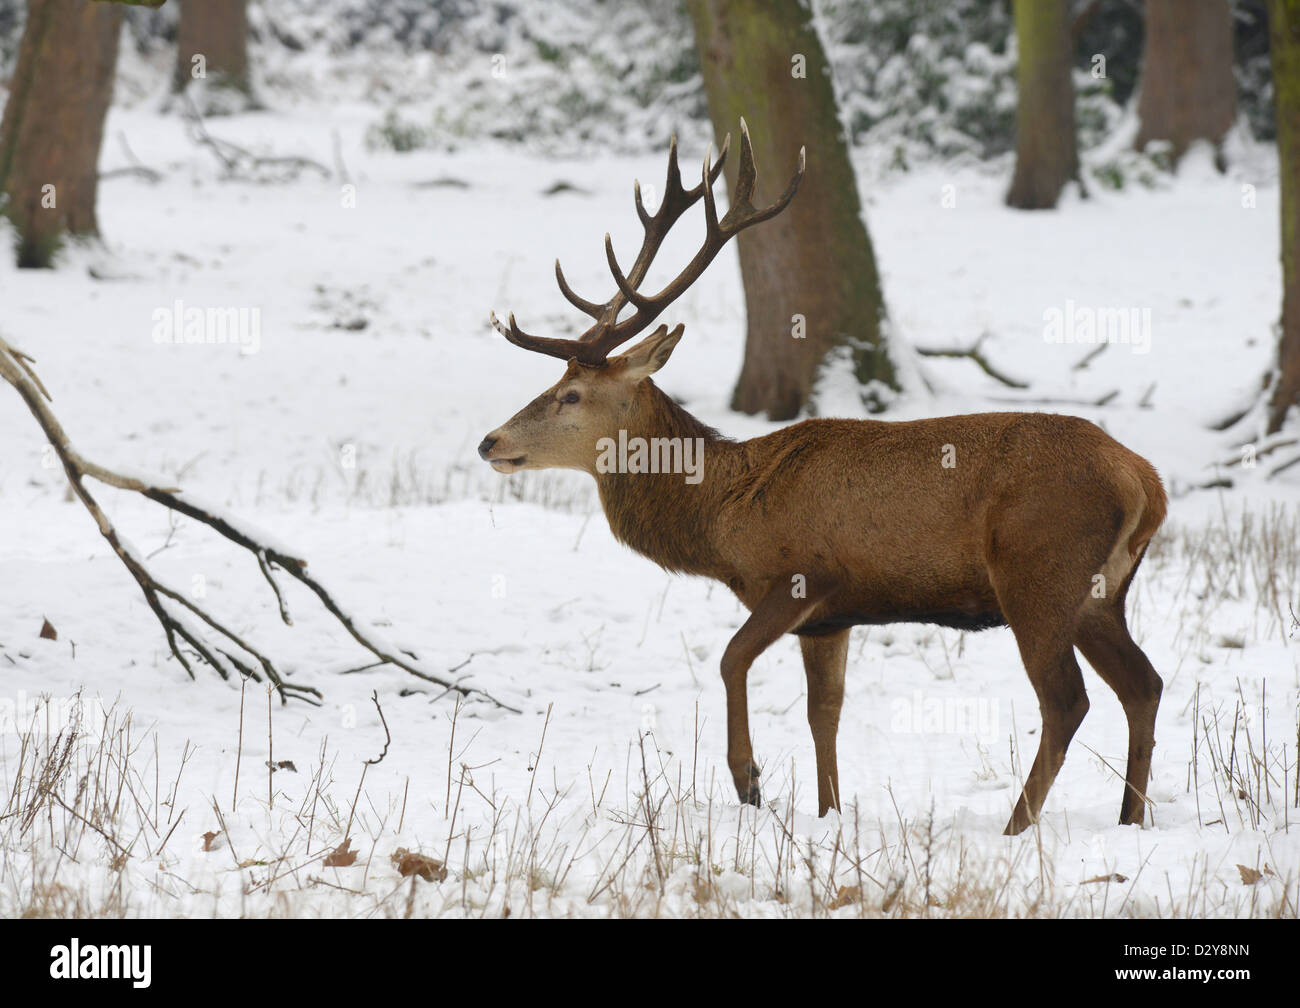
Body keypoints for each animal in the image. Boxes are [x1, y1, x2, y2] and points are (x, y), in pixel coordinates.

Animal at [478, 121, 1167, 835]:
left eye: (572, 395)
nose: (490, 442)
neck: (725, 519)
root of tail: (1147, 484)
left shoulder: (804, 573)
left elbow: (730, 657)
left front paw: (748, 781)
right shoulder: (832, 620)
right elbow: (824, 713)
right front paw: (828, 812)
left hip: (1039, 570)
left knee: (1066, 700)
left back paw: (1015, 830)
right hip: (1101, 594)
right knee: (1144, 684)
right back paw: (1129, 819)